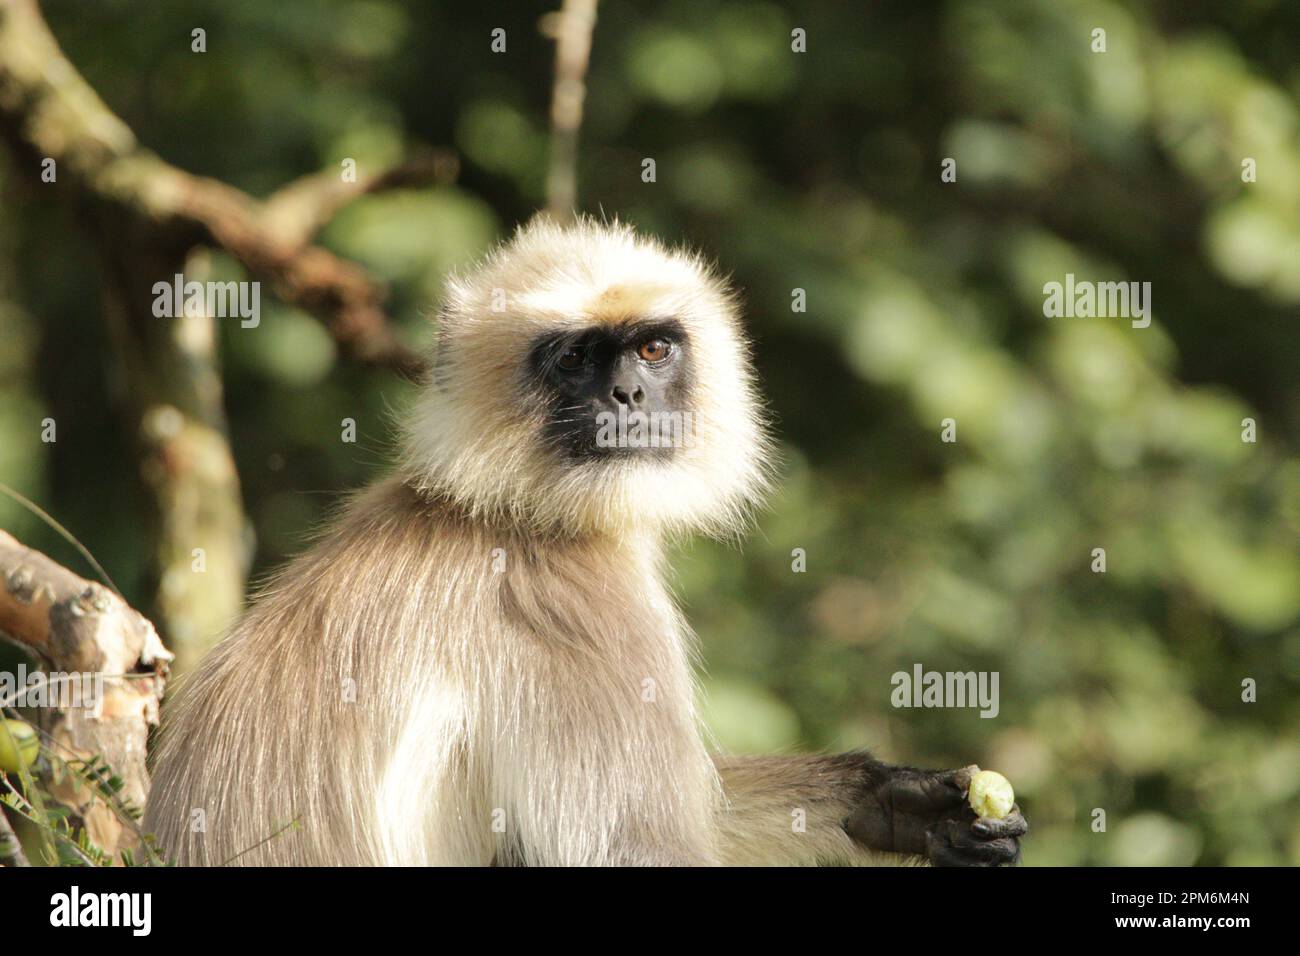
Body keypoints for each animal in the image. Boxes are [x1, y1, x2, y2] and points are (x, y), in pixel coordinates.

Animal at [143, 217, 1027, 866]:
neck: (506, 513)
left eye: (652, 348)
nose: (628, 395)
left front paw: (898, 807)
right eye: (574, 358)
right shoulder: (567, 607)